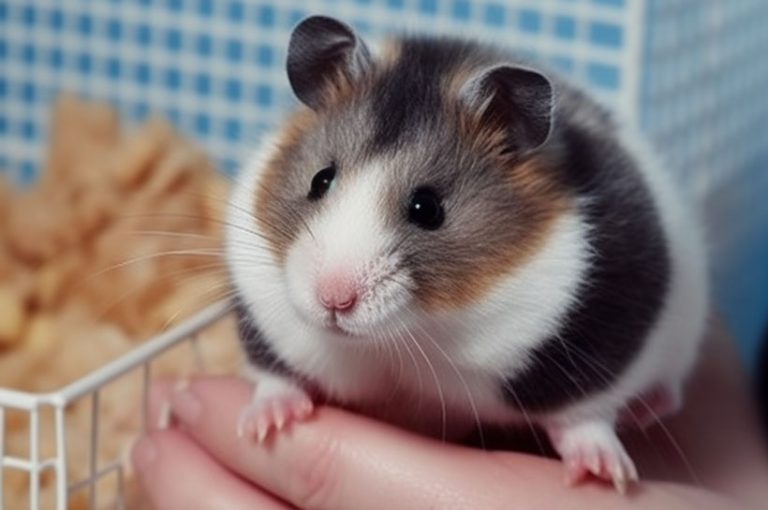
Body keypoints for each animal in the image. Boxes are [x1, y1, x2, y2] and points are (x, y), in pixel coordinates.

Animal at [225, 16, 709, 492]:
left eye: (427, 208)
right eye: (320, 180)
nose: (333, 301)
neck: (406, 338)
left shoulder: (599, 342)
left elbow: (586, 416)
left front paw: (606, 476)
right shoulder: (268, 318)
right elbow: (274, 376)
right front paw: (264, 428)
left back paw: (648, 410)